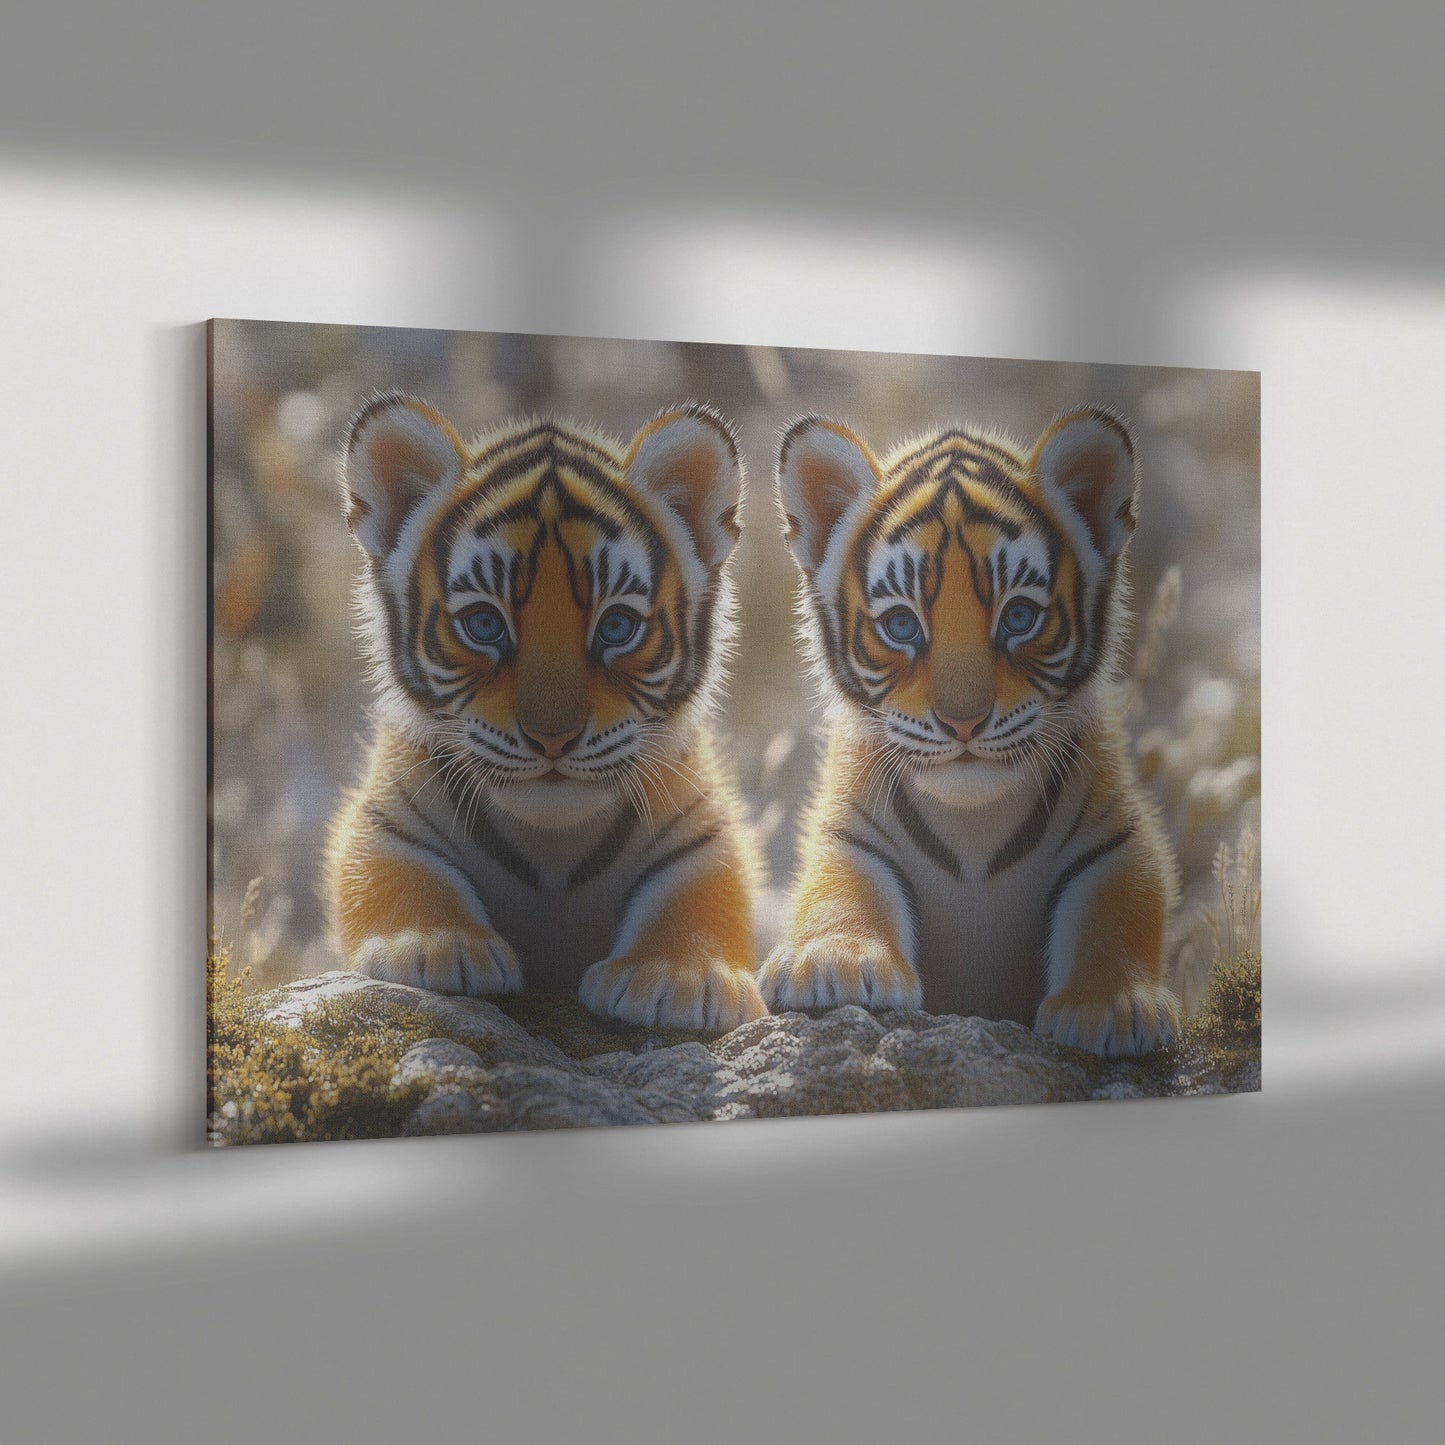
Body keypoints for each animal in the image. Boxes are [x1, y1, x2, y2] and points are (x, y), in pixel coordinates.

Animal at [324, 394, 765, 1031]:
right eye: (484, 624)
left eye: (616, 627)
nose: (553, 739)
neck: (550, 847)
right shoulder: (384, 816)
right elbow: (397, 874)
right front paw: (434, 946)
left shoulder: (703, 824)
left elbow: (701, 890)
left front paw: (679, 976)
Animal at [761, 408, 1181, 1056]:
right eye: (902, 625)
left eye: (1019, 617)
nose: (963, 721)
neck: (974, 828)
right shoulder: (849, 829)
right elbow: (842, 887)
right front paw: (833, 963)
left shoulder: (1116, 834)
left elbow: (1119, 903)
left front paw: (1112, 1007)